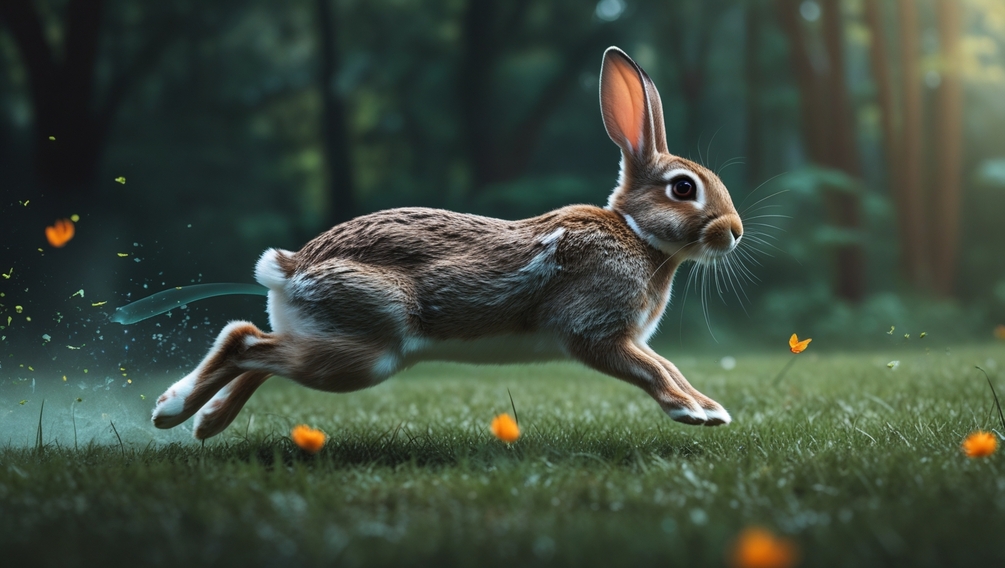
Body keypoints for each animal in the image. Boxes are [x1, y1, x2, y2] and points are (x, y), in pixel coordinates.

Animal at [151, 46, 744, 440]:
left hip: (327, 340)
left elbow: (670, 365)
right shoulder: (596, 329)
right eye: (683, 188)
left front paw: (710, 408)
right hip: (363, 349)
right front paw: (695, 414)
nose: (734, 232)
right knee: (245, 340)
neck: (638, 235)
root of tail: (291, 267)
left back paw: (206, 422)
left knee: (259, 352)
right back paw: (171, 409)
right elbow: (653, 369)